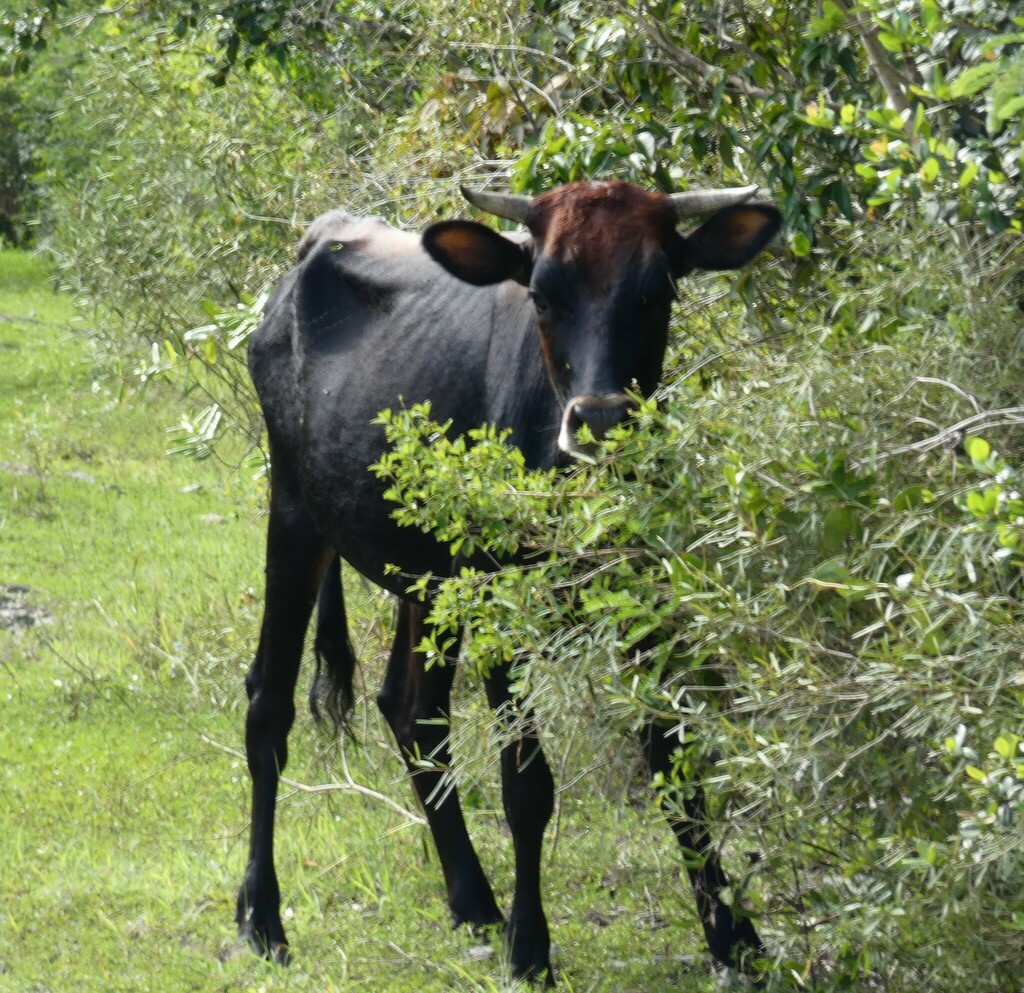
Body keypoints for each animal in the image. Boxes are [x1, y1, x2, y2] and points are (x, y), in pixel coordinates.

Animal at [237, 180, 782, 982]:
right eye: (543, 295)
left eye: (658, 290)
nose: (599, 421)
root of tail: (319, 241)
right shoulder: (504, 606)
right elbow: (526, 783)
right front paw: (531, 950)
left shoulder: (648, 596)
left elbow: (674, 763)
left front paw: (734, 938)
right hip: (296, 513)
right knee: (268, 706)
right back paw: (262, 917)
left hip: (430, 575)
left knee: (412, 708)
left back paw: (472, 899)